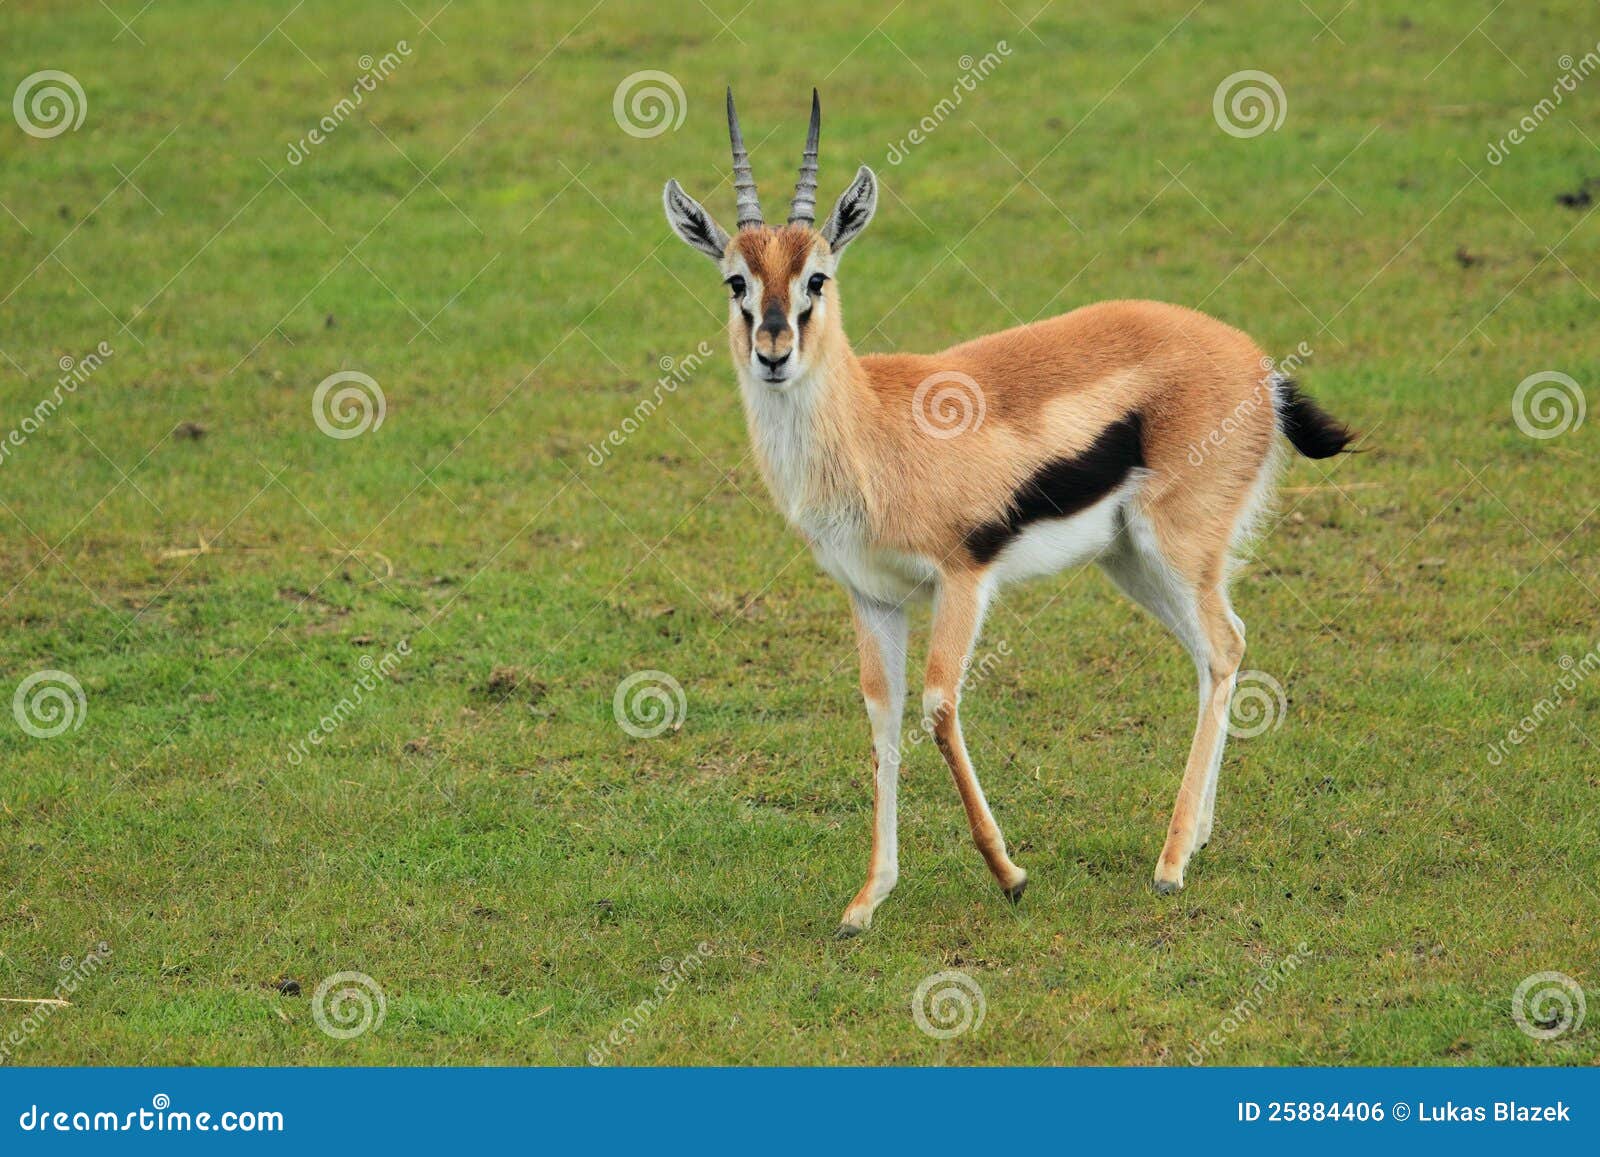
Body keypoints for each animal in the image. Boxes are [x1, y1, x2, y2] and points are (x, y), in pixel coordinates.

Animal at [663, 89, 1353, 937]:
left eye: (816, 277)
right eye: (736, 281)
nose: (773, 352)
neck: (871, 428)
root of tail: (1259, 367)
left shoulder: (962, 577)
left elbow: (937, 707)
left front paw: (1011, 874)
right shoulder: (872, 596)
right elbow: (883, 720)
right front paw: (867, 899)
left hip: (1174, 546)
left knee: (1222, 646)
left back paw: (1170, 864)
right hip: (1131, 561)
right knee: (1221, 649)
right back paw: (1196, 837)